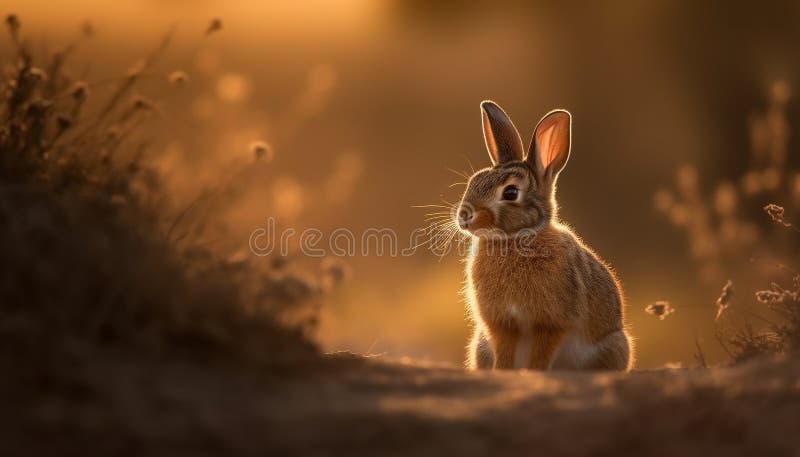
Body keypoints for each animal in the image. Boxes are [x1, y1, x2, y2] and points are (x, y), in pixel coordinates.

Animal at [458, 100, 633, 371]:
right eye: (475, 180)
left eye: (510, 193)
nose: (464, 215)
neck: (514, 239)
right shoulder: (502, 324)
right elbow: (505, 354)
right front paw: (503, 373)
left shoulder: (551, 323)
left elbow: (541, 355)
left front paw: (532, 373)